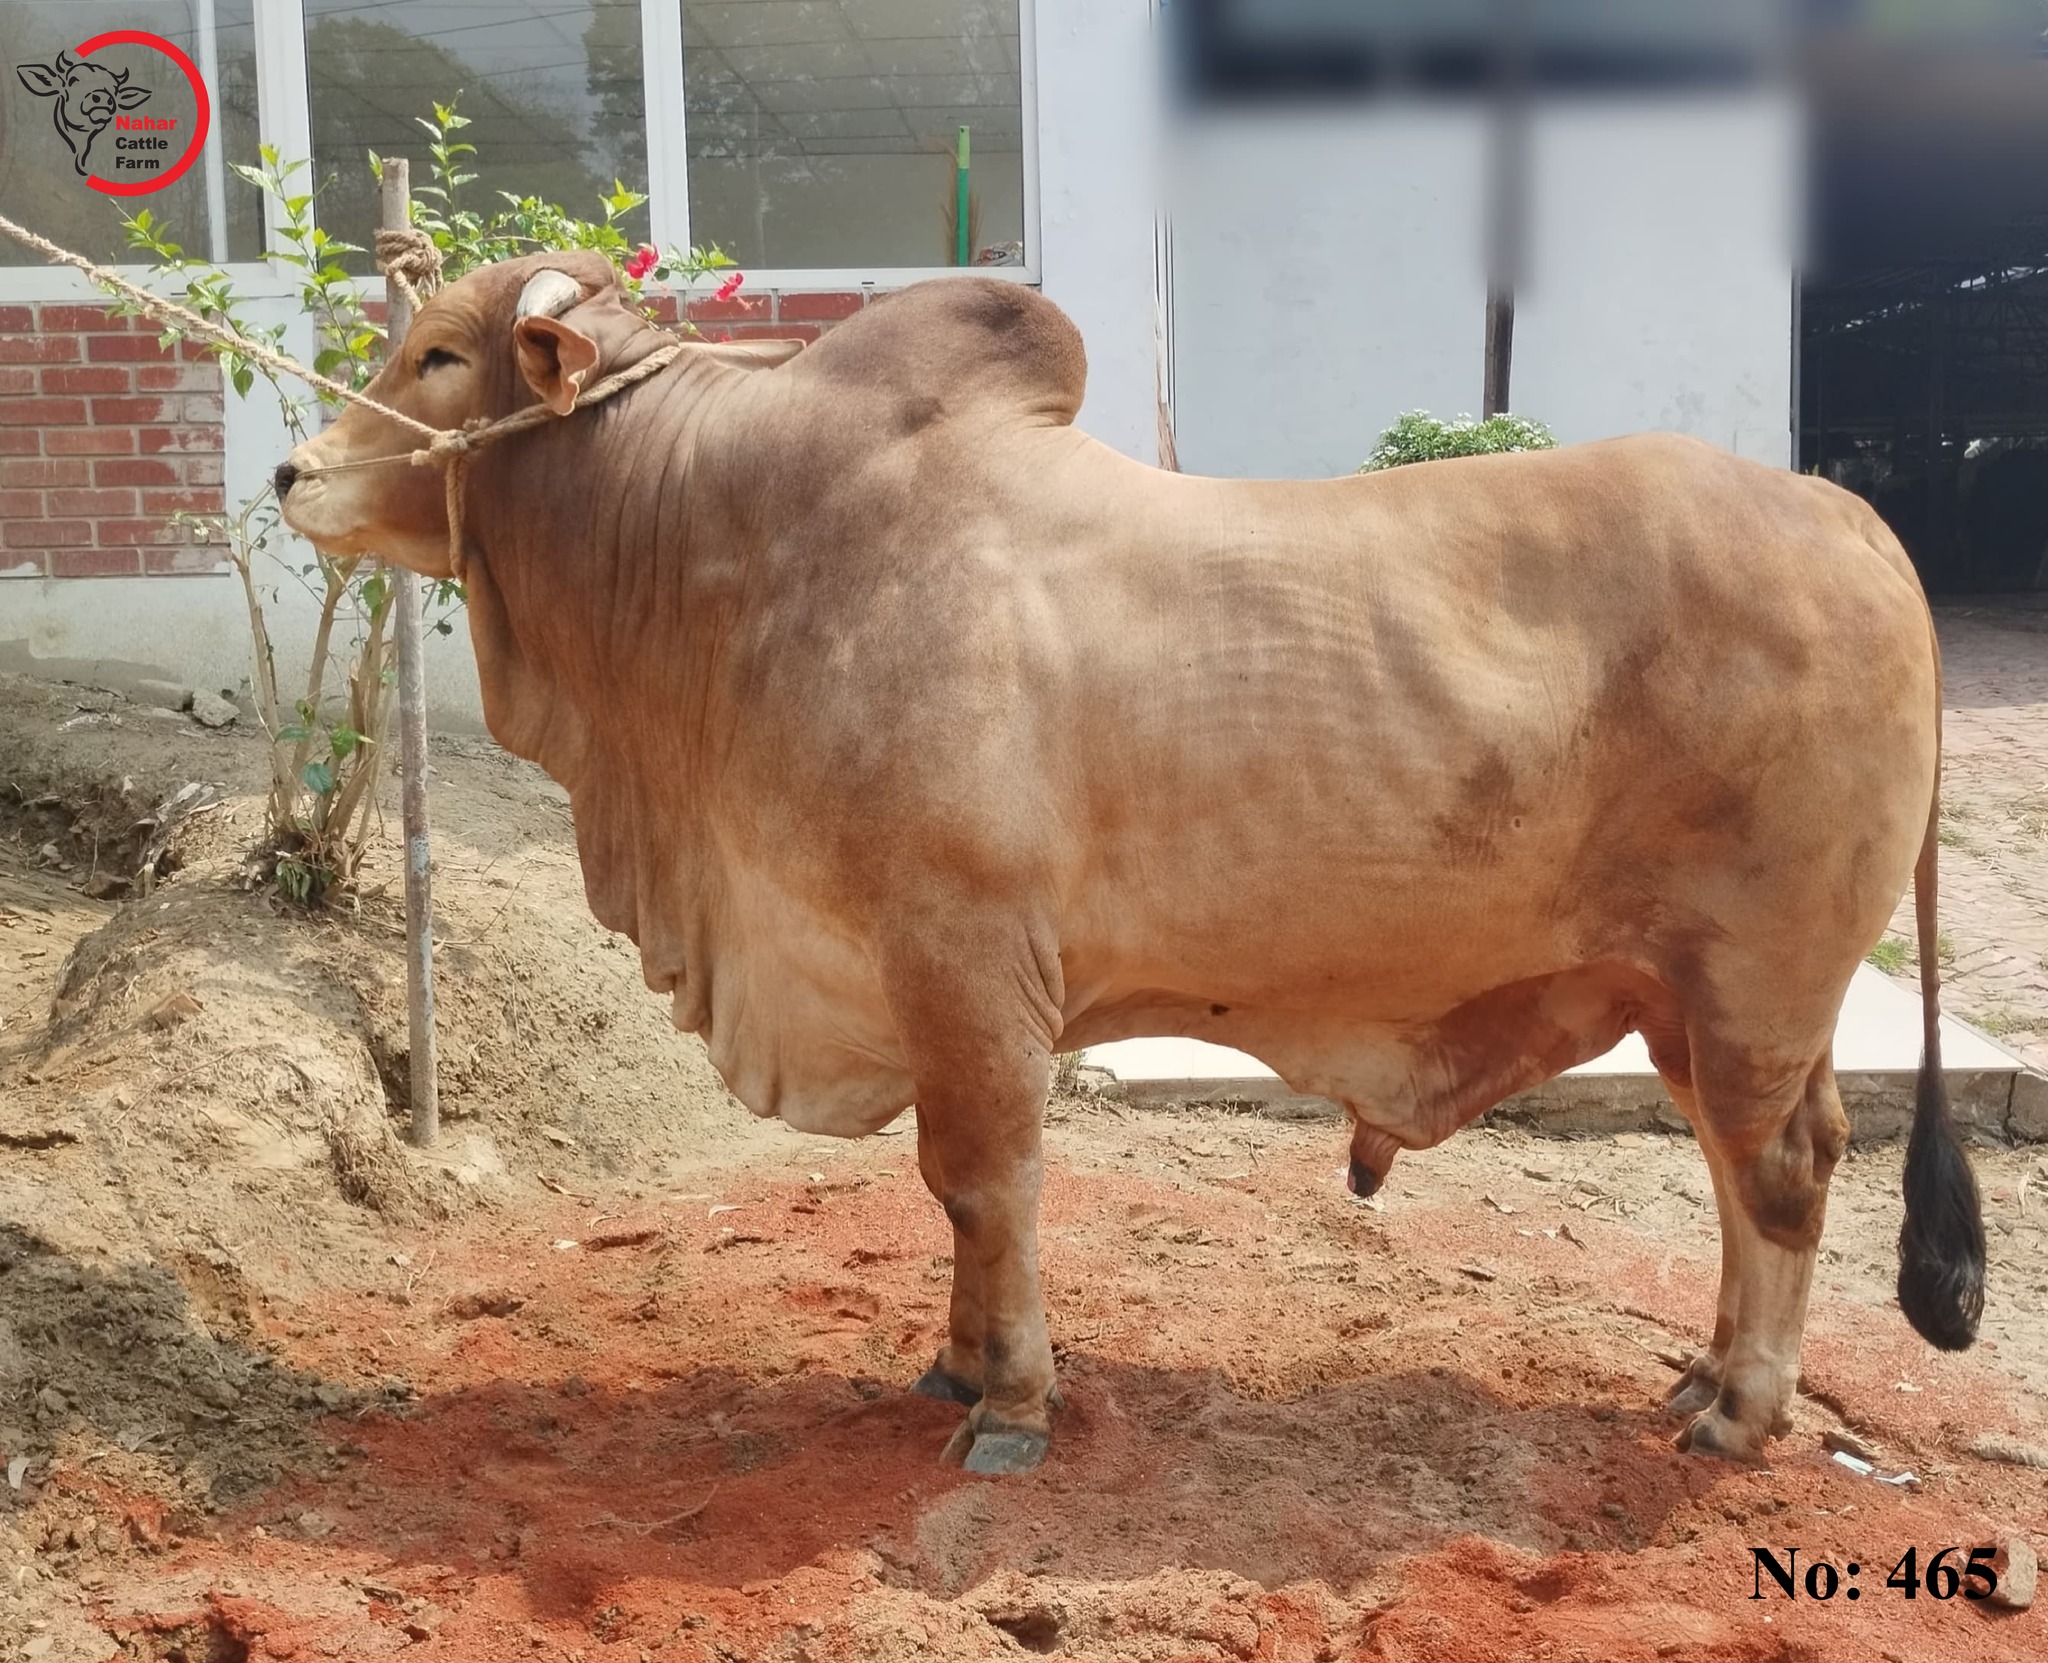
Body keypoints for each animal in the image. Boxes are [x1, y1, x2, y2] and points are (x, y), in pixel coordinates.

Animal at [276, 251, 1985, 1476]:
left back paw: (1743, 1409)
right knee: (1748, 1168)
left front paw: (1012, 1400)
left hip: (1759, 981)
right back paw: (1706, 1370)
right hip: (1698, 999)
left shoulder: (965, 961)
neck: (735, 549)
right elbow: (953, 1189)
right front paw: (956, 1360)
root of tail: (1840, 511)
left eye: (438, 355)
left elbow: (983, 1181)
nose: (292, 471)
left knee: (1782, 1171)